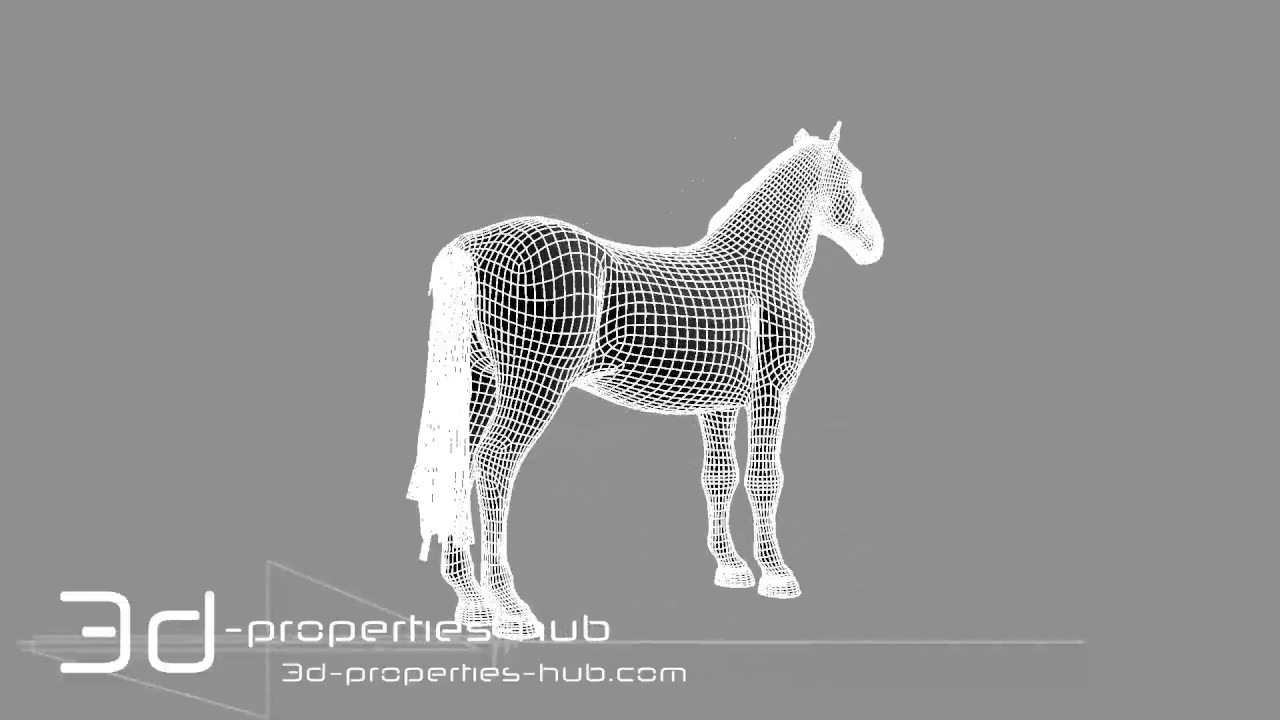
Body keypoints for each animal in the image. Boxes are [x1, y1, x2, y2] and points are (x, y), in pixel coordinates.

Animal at [408, 121, 883, 640]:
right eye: (853, 179)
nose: (874, 246)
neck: (755, 267)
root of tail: (474, 246)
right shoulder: (770, 392)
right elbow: (764, 479)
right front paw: (777, 575)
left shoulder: (715, 406)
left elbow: (719, 478)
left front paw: (731, 567)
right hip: (533, 381)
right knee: (495, 464)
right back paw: (509, 609)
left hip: (476, 383)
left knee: (457, 468)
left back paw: (472, 603)